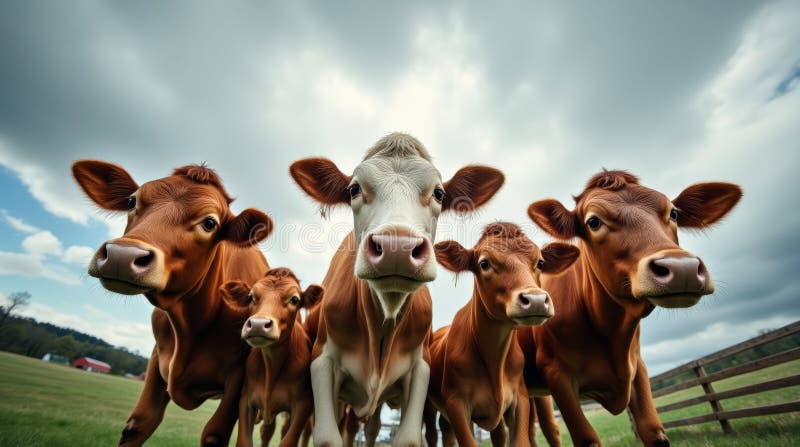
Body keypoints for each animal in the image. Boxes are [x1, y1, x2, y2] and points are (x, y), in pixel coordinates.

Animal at [71, 161, 274, 447]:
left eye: (209, 222)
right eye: (132, 201)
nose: (122, 256)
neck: (192, 324)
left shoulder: (238, 378)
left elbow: (214, 433)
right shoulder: (158, 358)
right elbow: (139, 423)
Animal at [220, 268, 323, 447]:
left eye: (295, 299)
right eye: (250, 297)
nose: (258, 324)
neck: (271, 368)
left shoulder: (303, 405)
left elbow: (288, 441)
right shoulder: (246, 399)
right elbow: (244, 441)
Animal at [289, 132, 505, 447]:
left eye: (439, 193)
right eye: (354, 188)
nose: (397, 247)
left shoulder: (420, 370)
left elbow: (409, 438)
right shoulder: (321, 362)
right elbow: (329, 437)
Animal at [424, 223, 580, 447]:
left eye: (541, 262)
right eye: (484, 263)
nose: (536, 300)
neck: (494, 361)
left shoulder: (519, 399)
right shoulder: (456, 405)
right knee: (432, 433)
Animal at [518, 170, 742, 447]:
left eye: (673, 213)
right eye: (593, 221)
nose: (683, 269)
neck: (609, 331)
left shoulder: (637, 368)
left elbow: (654, 431)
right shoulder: (557, 374)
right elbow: (587, 438)